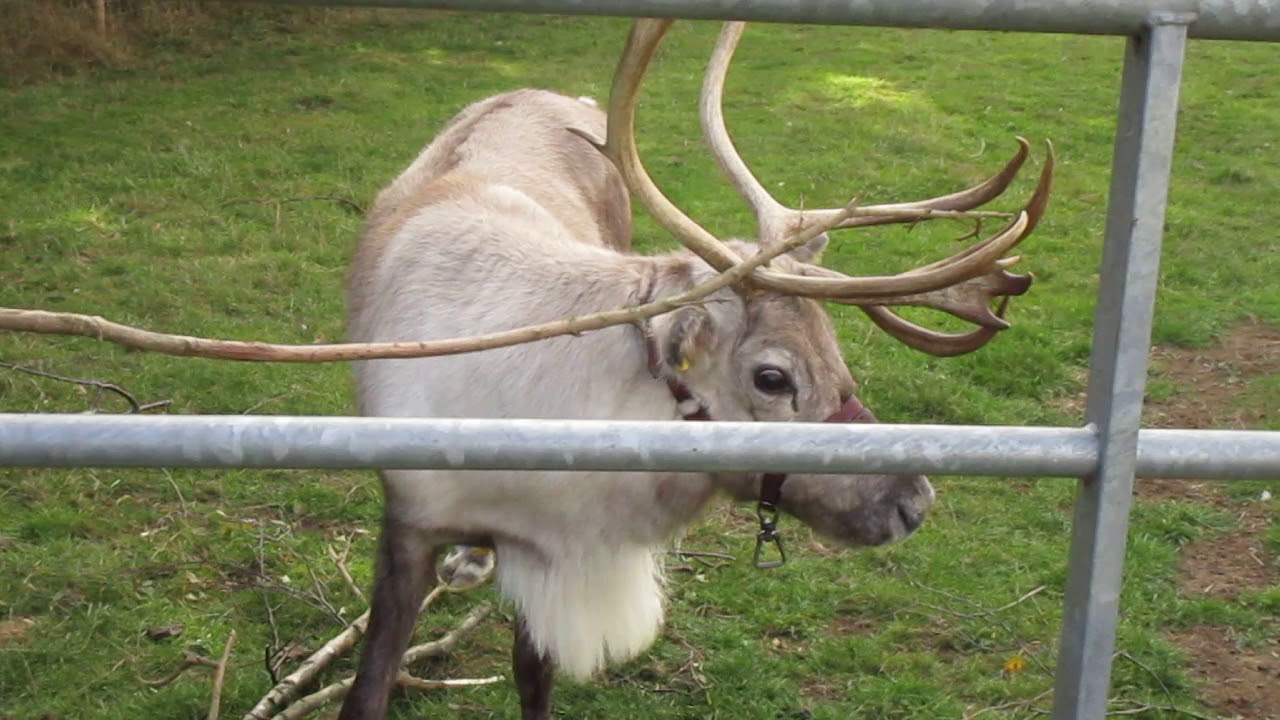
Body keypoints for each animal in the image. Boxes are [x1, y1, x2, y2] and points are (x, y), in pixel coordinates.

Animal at [338, 18, 1052, 720]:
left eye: (834, 352)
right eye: (773, 378)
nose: (912, 501)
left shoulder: (552, 551)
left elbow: (533, 678)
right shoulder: (409, 525)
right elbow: (368, 687)